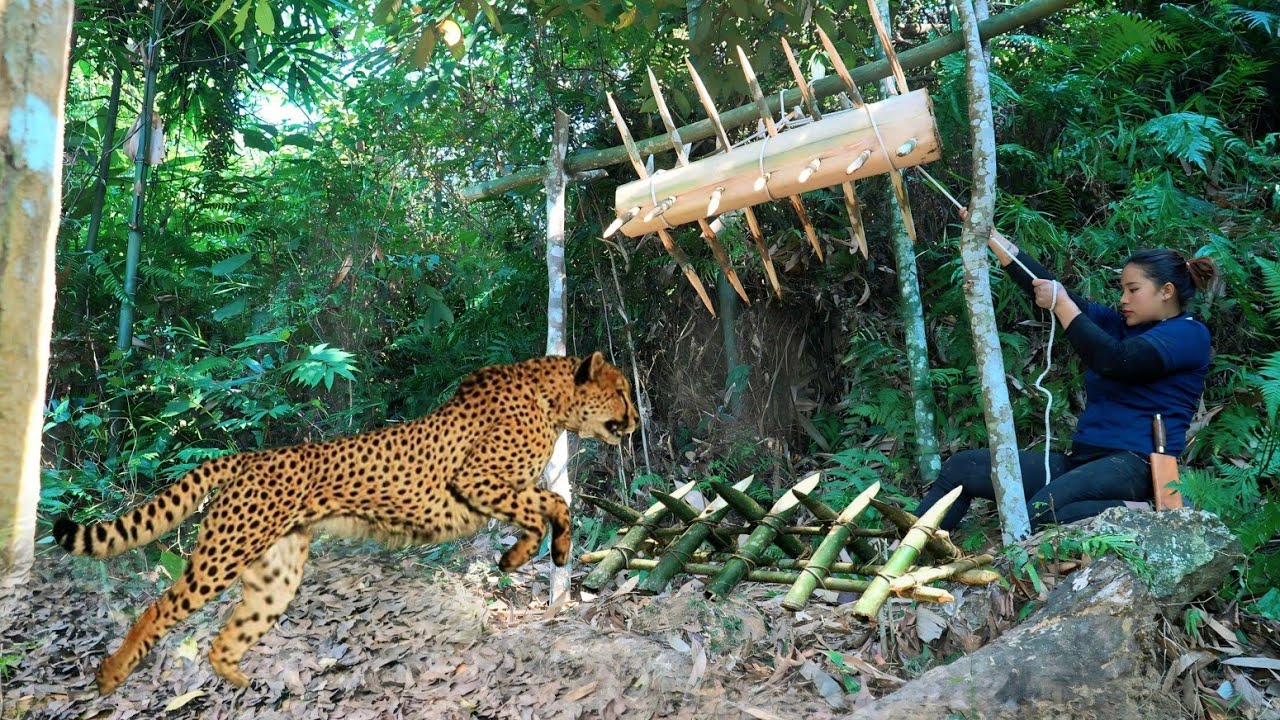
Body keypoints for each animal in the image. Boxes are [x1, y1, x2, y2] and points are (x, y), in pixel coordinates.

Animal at [53, 352, 638, 695]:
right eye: (621, 391)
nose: (635, 419)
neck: (551, 397)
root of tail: (246, 458)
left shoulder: (495, 488)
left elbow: (552, 504)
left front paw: (543, 553)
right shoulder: (476, 482)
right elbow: (553, 504)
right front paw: (525, 554)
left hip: (276, 578)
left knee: (226, 638)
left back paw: (242, 681)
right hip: (221, 559)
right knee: (157, 610)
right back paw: (112, 672)